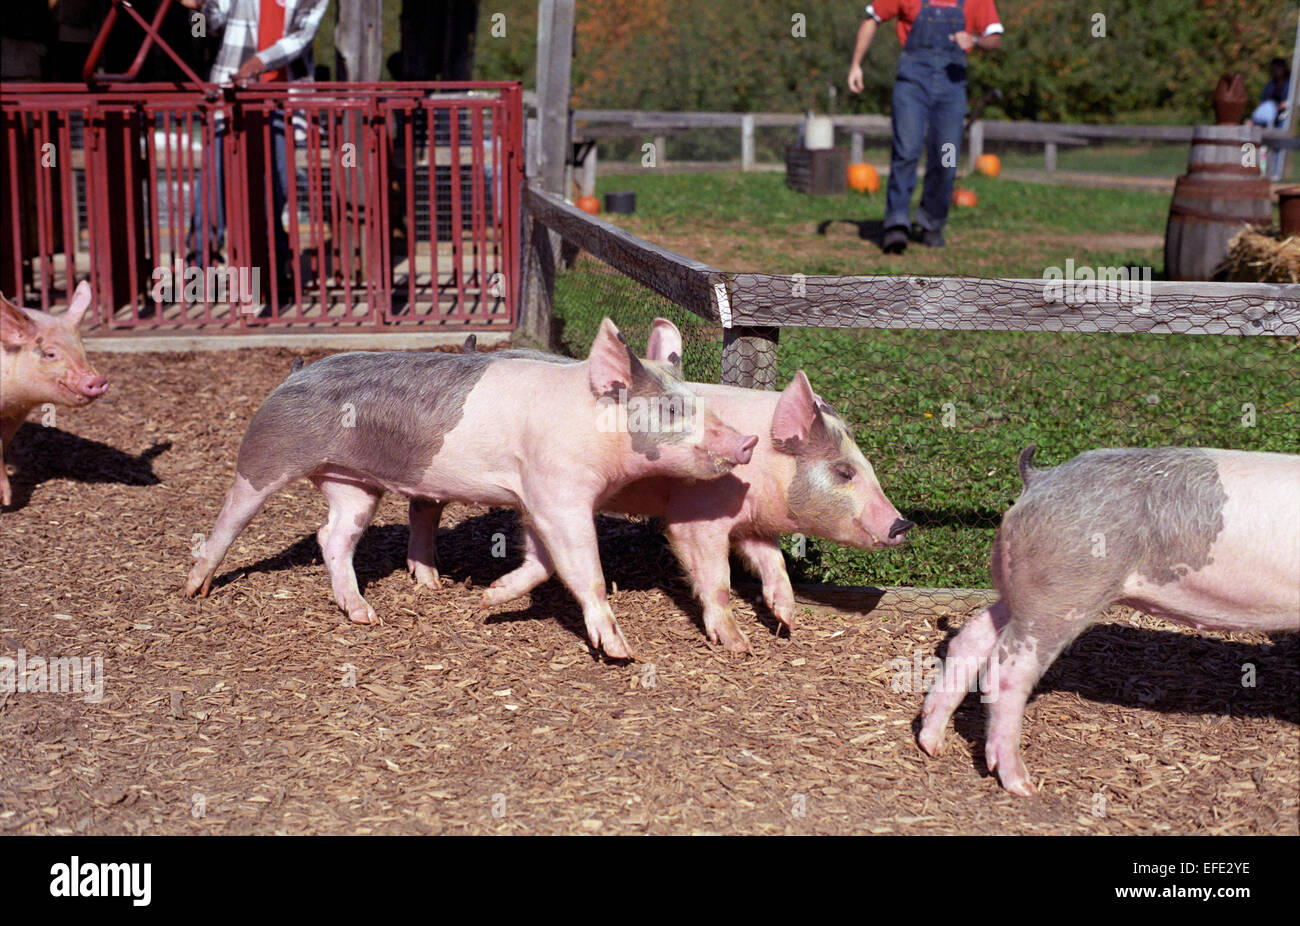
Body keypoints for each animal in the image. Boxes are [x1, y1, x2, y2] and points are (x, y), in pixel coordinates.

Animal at [184, 317, 758, 659]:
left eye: (699, 401)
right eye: (670, 408)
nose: (748, 439)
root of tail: (293, 373)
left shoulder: (537, 499)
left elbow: (543, 563)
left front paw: (487, 599)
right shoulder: (558, 494)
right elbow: (584, 569)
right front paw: (621, 652)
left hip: (352, 483)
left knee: (334, 537)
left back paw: (366, 616)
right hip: (267, 453)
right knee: (232, 516)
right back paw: (195, 589)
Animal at [408, 319, 913, 653]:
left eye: (865, 466)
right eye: (844, 472)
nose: (903, 525)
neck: (761, 476)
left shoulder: (752, 526)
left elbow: (775, 565)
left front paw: (787, 623)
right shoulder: (697, 515)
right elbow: (717, 579)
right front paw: (739, 646)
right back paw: (432, 584)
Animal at [918, 445, 1300, 796]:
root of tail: (1040, 479)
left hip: (1023, 591)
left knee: (972, 637)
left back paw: (931, 744)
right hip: (1063, 590)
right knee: (1008, 671)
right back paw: (1022, 784)